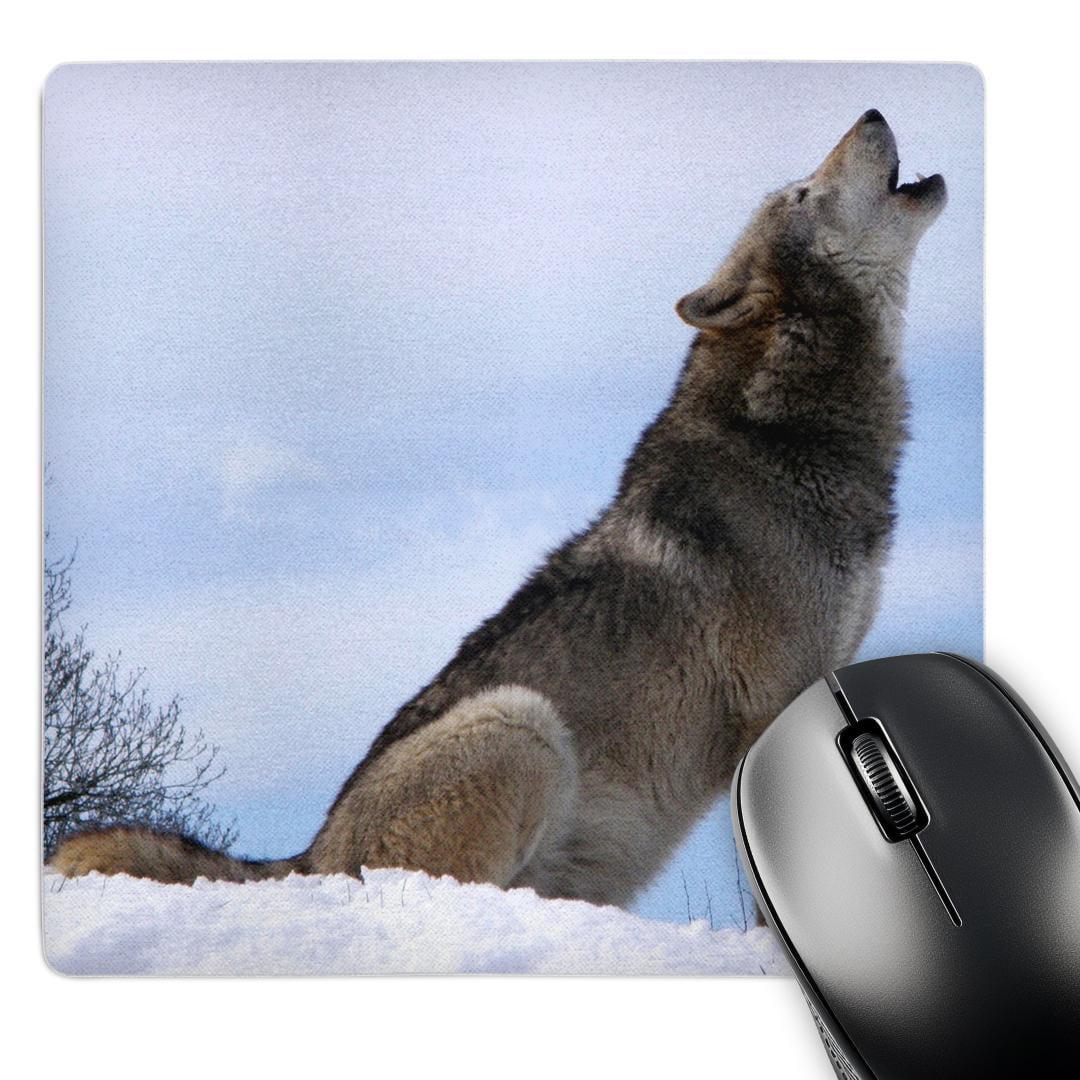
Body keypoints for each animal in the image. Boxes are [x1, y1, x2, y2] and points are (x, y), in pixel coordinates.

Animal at [53, 111, 946, 905]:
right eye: (802, 192)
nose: (872, 109)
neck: (788, 430)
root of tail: (306, 857)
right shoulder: (770, 713)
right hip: (521, 722)